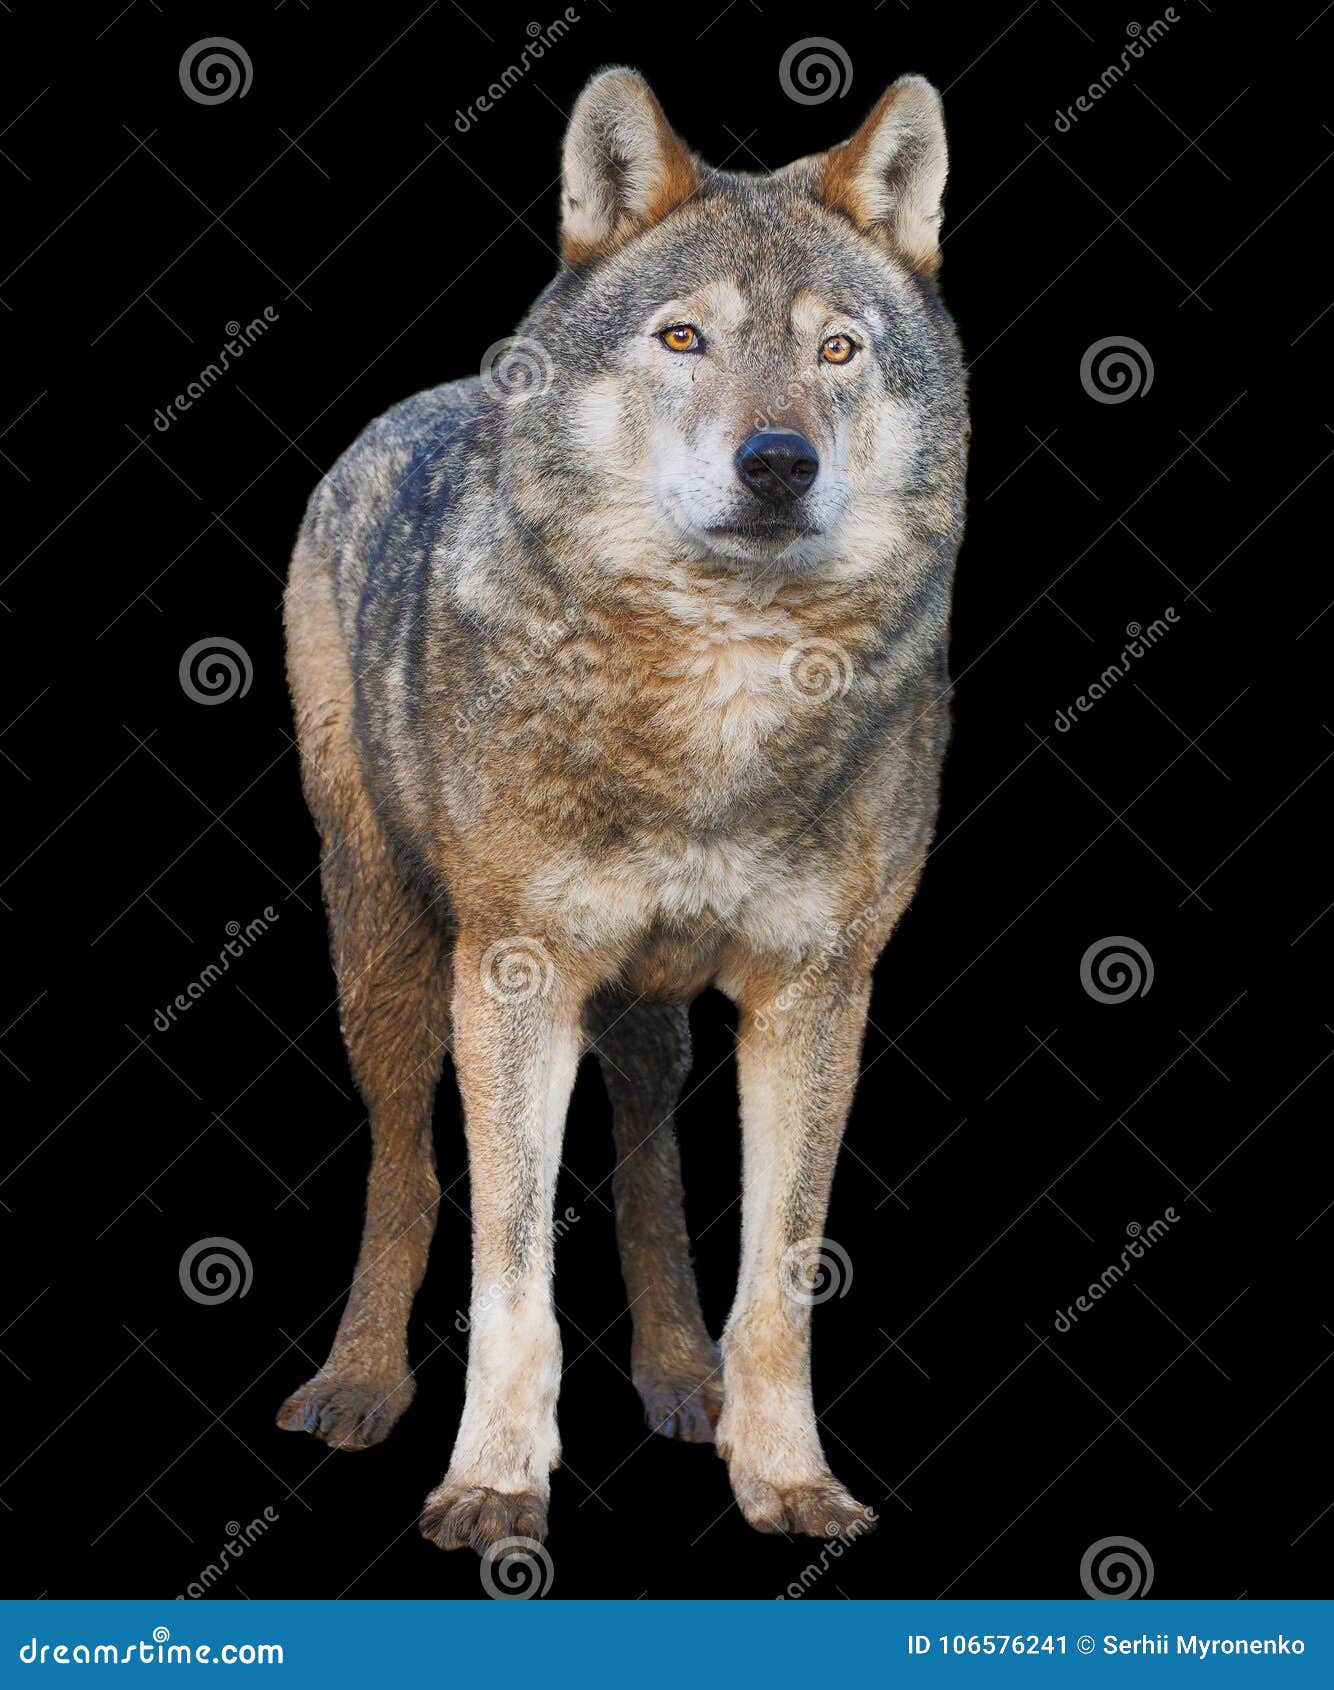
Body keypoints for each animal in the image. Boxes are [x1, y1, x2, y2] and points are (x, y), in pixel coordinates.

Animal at [279, 66, 966, 1556]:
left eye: (838, 351)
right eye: (681, 337)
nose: (776, 462)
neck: (716, 697)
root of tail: (426, 394)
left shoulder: (818, 991)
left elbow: (777, 1279)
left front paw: (787, 1476)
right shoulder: (516, 975)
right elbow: (512, 1275)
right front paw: (490, 1484)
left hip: (649, 1009)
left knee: (647, 1159)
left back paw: (678, 1377)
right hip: (387, 950)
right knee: (404, 1169)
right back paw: (357, 1385)